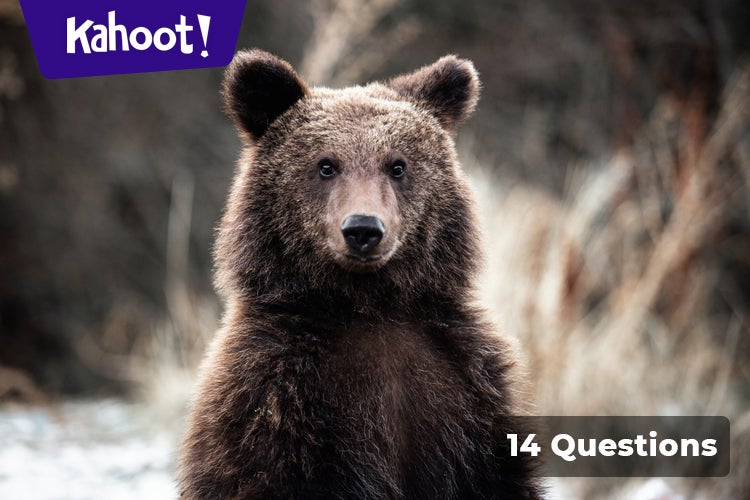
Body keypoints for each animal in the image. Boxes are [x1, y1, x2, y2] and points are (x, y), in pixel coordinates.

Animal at [178, 49, 542, 499]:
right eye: (326, 165)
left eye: (397, 166)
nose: (363, 229)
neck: (369, 305)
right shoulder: (275, 402)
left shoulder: (468, 396)